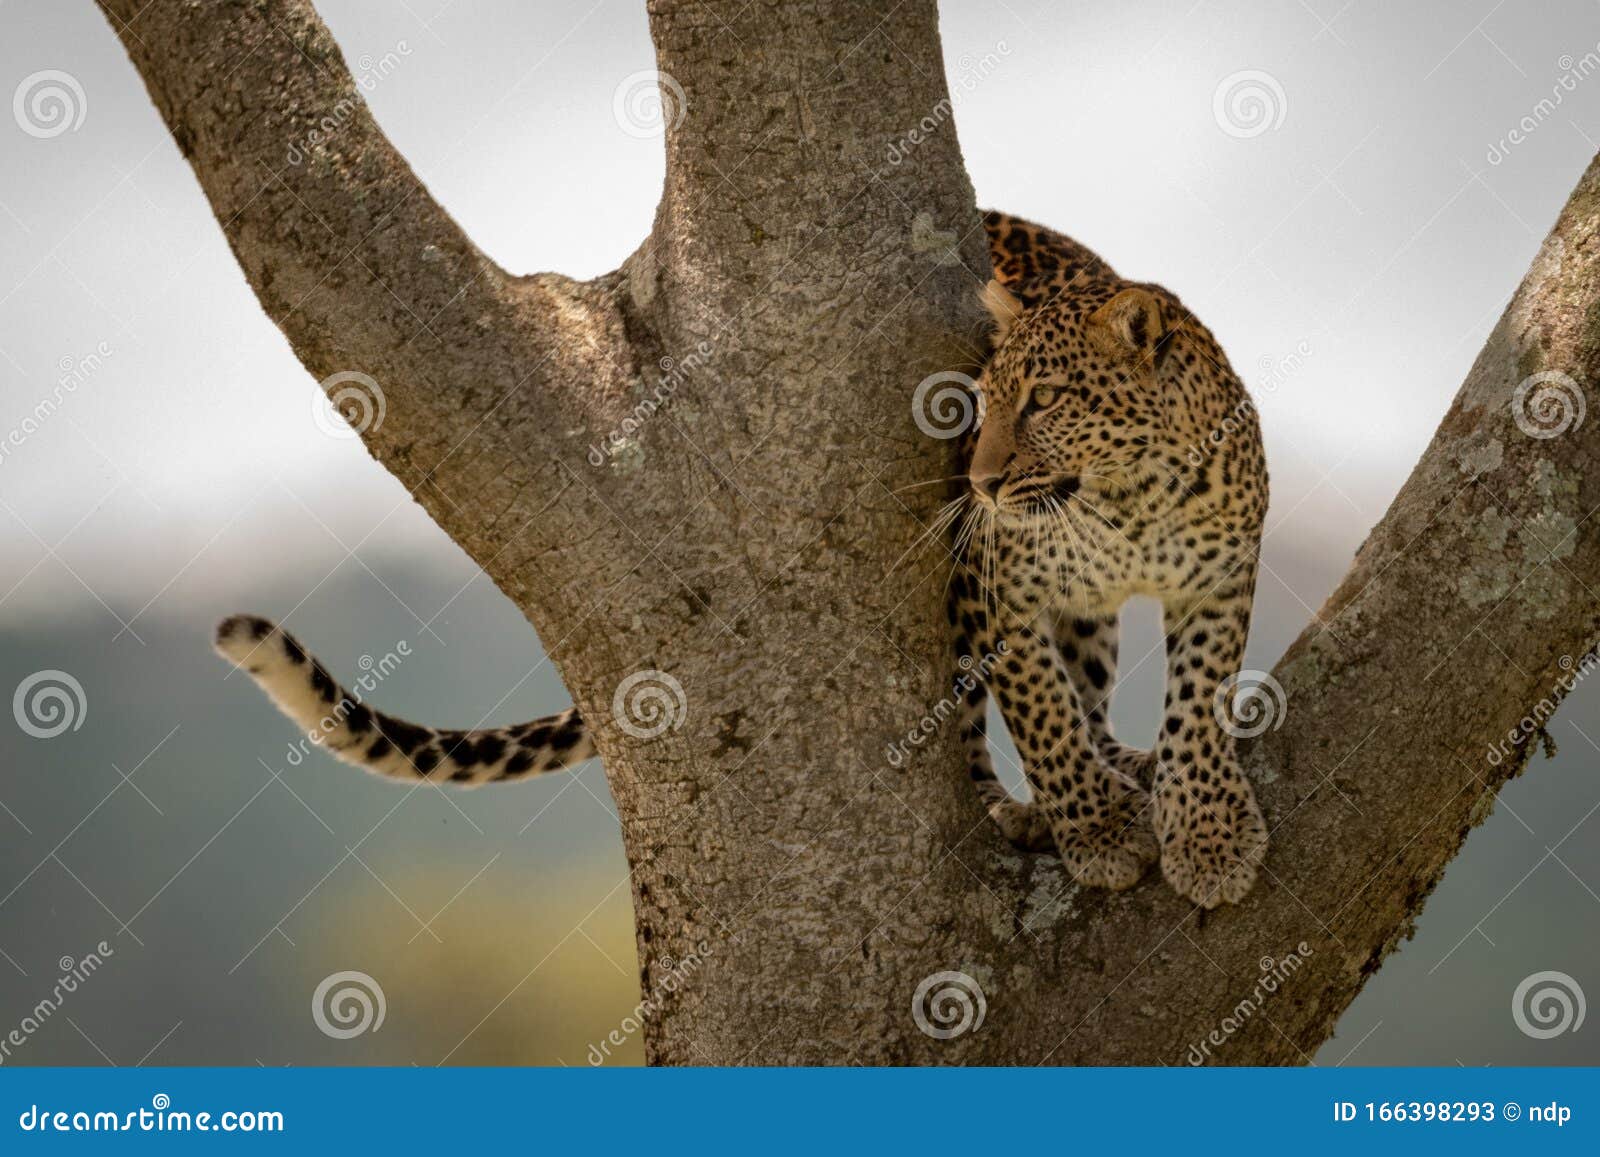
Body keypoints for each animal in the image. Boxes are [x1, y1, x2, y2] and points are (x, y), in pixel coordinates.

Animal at [211, 211, 1268, 909]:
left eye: (1045, 401)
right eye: (981, 400)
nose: (981, 478)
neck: (1126, 503)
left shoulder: (1220, 580)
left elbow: (1195, 705)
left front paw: (1208, 831)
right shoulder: (997, 587)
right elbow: (1041, 716)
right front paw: (1094, 830)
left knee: (1087, 682)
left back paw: (1122, 760)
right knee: (987, 713)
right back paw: (1020, 809)